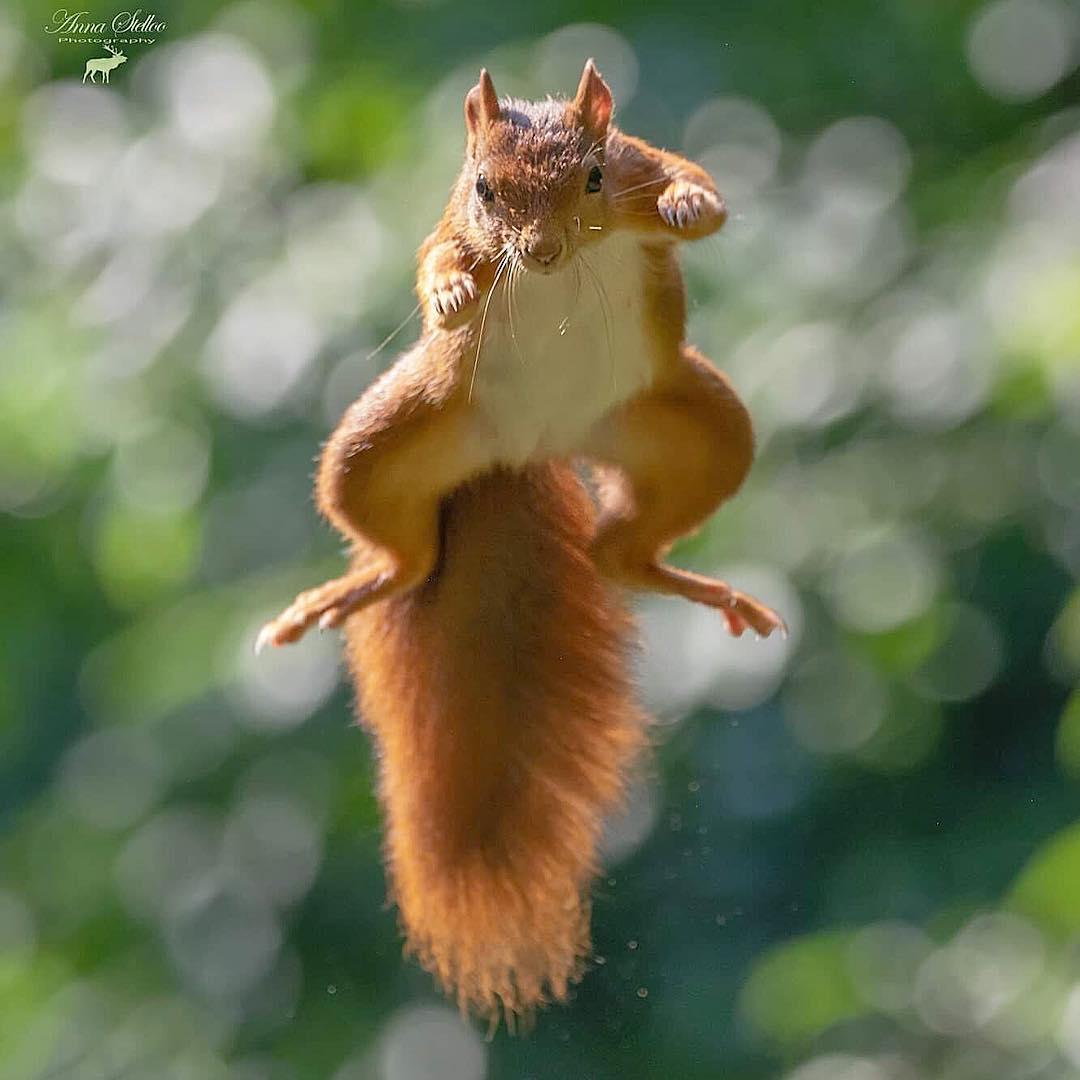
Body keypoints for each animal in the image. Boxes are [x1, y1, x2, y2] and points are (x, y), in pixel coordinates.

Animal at [255, 60, 785, 1025]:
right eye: (483, 188)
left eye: (595, 178)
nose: (537, 255)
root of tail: (534, 447)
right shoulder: (452, 227)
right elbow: (433, 260)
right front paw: (451, 296)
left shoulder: (639, 159)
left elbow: (701, 188)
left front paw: (688, 204)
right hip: (393, 436)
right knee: (406, 553)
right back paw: (351, 589)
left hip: (695, 428)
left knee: (620, 553)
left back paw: (696, 585)